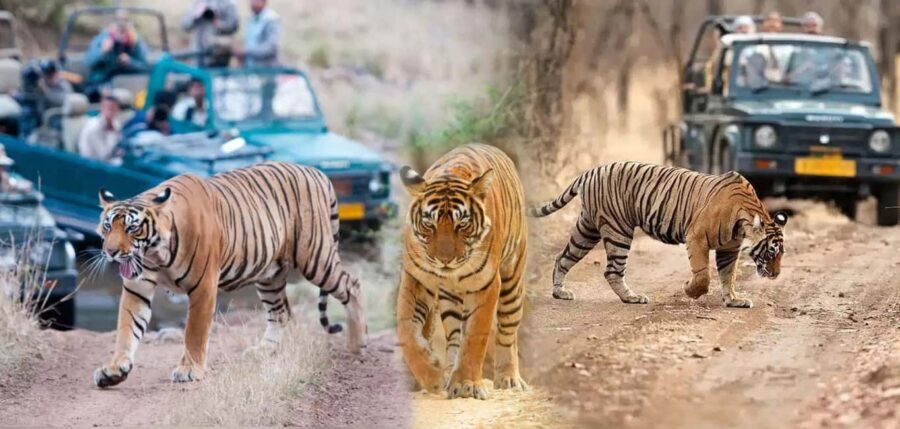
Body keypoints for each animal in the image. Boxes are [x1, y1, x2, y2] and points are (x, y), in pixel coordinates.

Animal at [92, 162, 366, 389]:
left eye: (132, 228)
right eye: (107, 226)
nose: (111, 252)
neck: (155, 254)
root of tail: (316, 171)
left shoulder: (203, 286)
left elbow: (194, 332)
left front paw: (189, 370)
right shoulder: (137, 287)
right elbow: (127, 328)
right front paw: (114, 370)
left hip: (315, 258)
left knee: (352, 285)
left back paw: (357, 345)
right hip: (270, 274)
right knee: (279, 313)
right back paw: (263, 351)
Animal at [396, 143, 528, 400]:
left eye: (462, 224)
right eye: (429, 224)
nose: (444, 260)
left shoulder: (487, 284)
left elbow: (476, 336)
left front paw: (468, 383)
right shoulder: (417, 278)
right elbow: (406, 330)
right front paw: (433, 376)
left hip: (512, 280)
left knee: (507, 331)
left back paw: (509, 378)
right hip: (450, 300)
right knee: (454, 337)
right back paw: (448, 373)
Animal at [529, 162, 787, 308]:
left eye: (781, 253)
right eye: (771, 251)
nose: (776, 275)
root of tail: (592, 171)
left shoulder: (729, 249)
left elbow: (728, 275)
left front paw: (733, 300)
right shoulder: (697, 237)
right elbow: (703, 275)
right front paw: (689, 289)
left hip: (588, 228)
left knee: (563, 257)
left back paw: (560, 292)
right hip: (618, 230)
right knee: (612, 270)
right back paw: (632, 298)